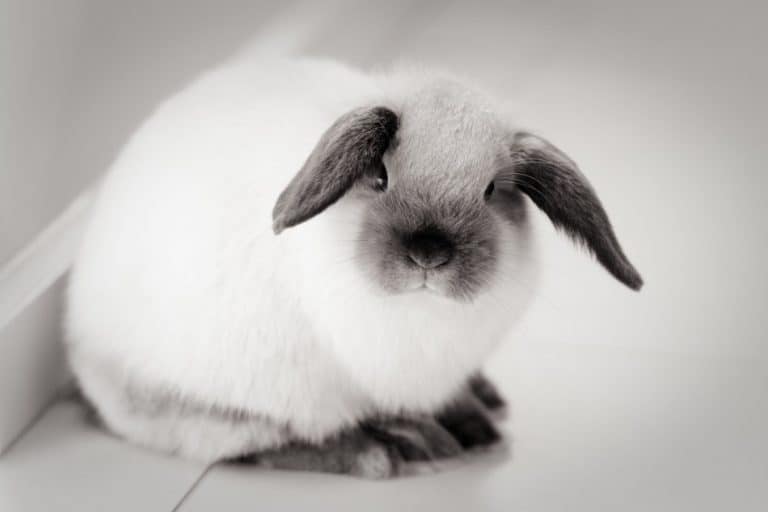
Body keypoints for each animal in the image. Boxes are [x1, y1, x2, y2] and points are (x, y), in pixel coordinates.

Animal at [64, 56, 642, 478]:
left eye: (492, 191)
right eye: (380, 176)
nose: (428, 252)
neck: (421, 311)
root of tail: (81, 354)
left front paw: (466, 414)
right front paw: (424, 434)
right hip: (226, 404)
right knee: (253, 444)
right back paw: (400, 449)